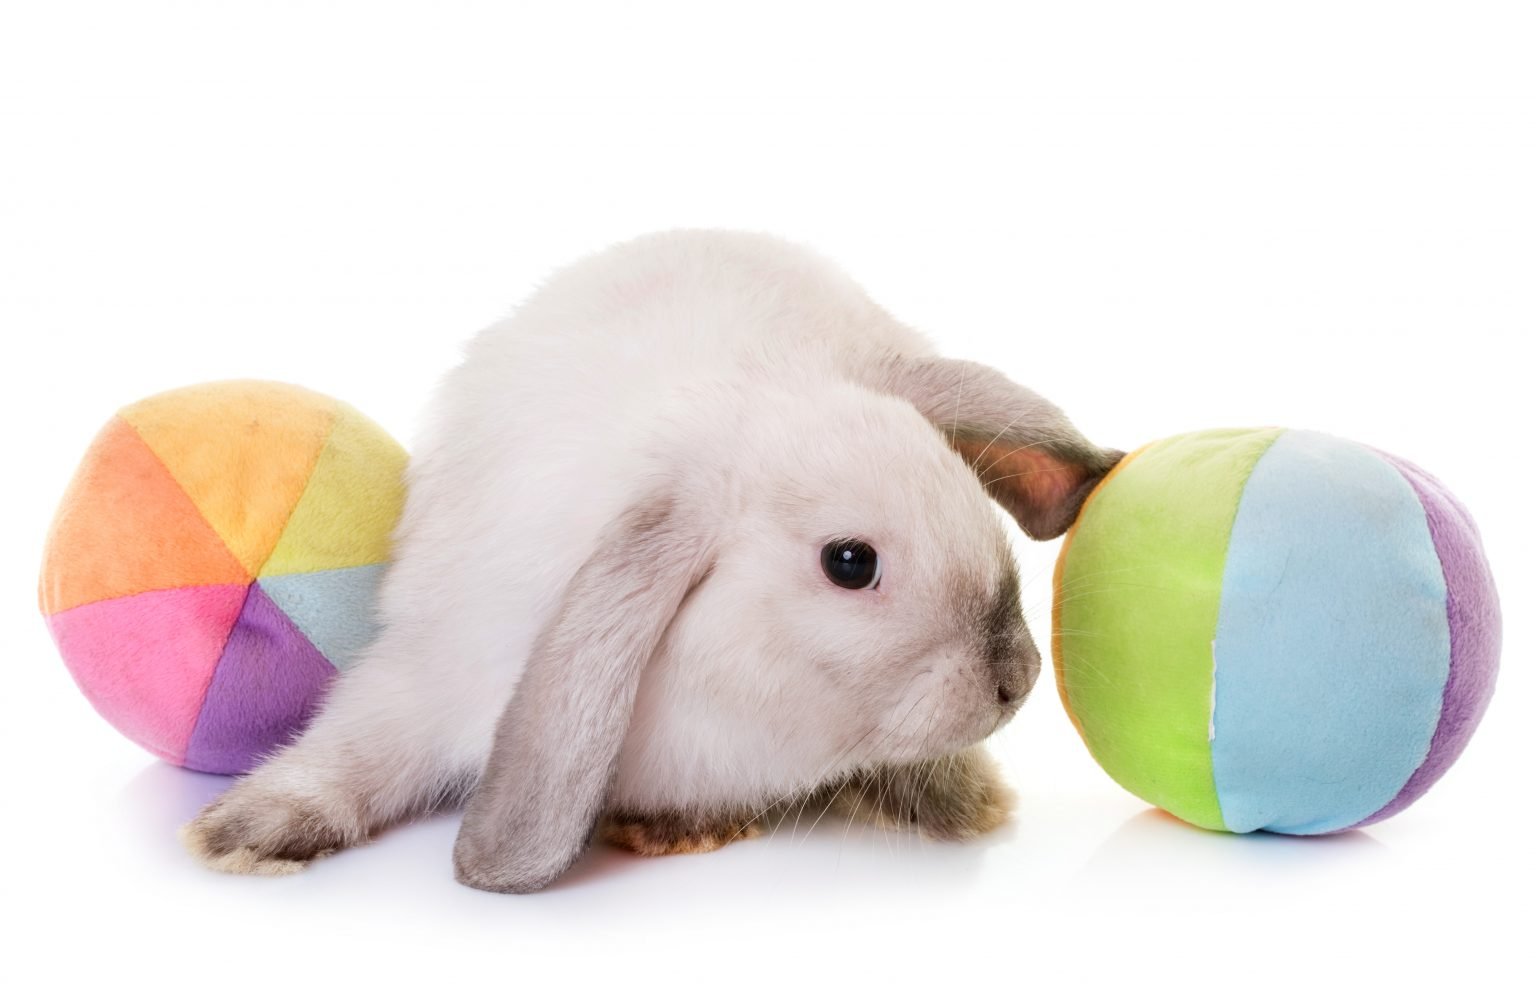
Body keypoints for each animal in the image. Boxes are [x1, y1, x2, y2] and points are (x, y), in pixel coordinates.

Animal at [180, 230, 1121, 893]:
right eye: (851, 562)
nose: (1016, 678)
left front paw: (969, 801)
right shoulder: (431, 670)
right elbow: (357, 752)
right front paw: (241, 835)